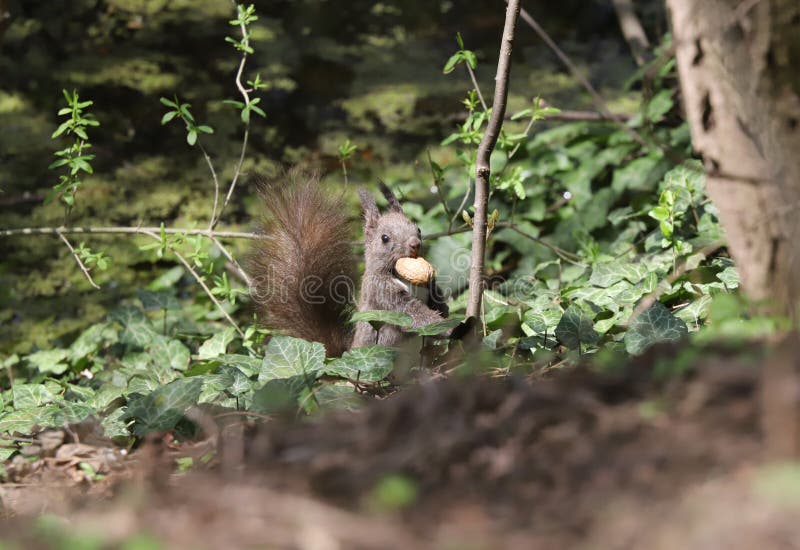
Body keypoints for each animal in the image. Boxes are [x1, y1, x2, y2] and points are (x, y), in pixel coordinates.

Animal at [249, 169, 449, 357]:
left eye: (418, 229)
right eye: (385, 238)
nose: (415, 244)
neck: (400, 274)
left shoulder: (428, 282)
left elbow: (435, 295)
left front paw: (445, 310)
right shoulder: (382, 292)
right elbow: (410, 313)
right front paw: (444, 326)